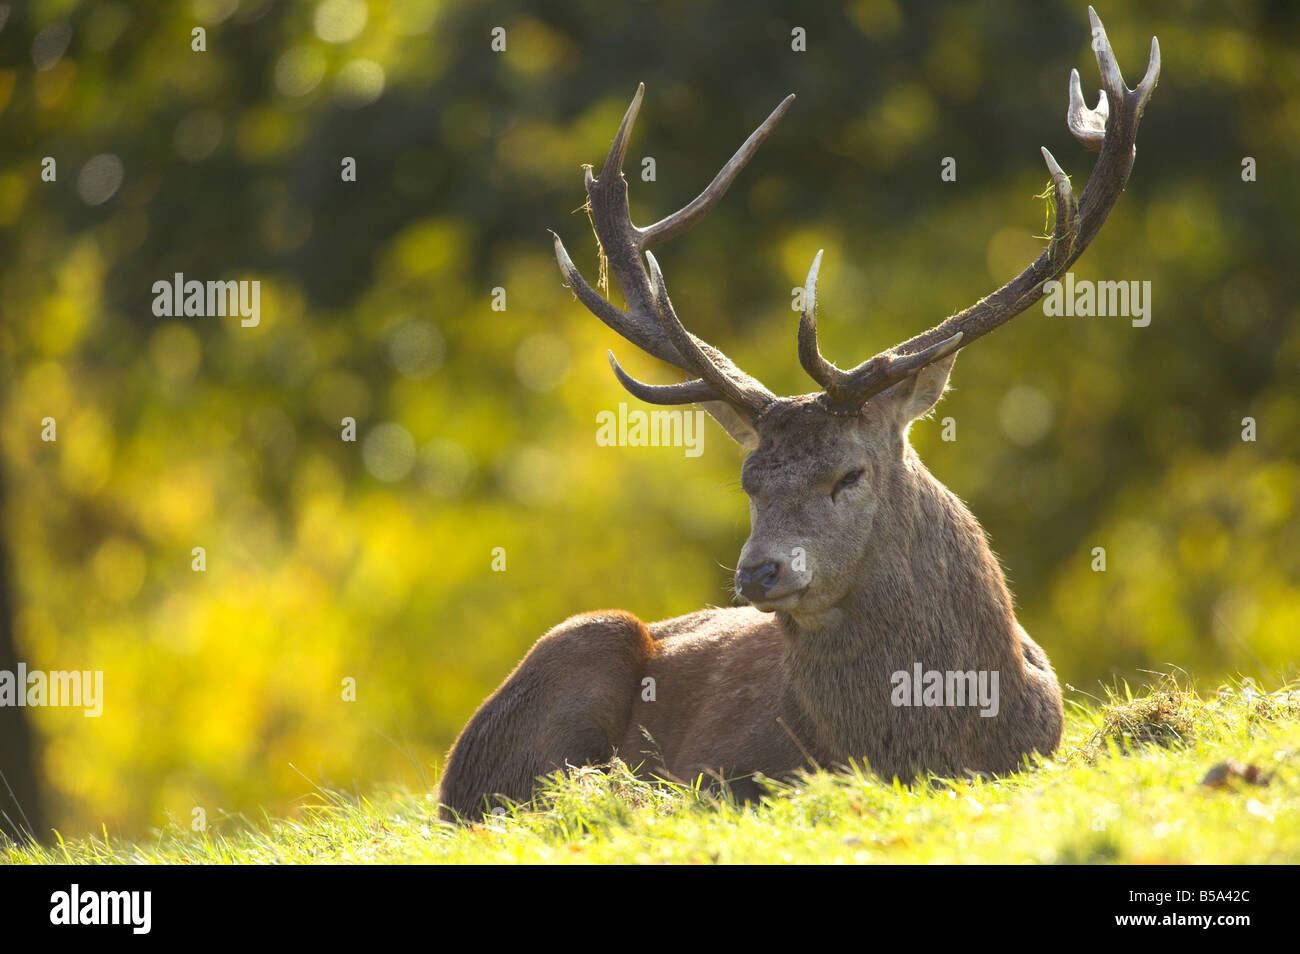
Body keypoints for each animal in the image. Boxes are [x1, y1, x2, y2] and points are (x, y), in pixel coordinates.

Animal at [438, 7, 1159, 821]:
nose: (759, 572)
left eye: (850, 474)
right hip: (575, 650)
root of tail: (445, 777)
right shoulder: (725, 770)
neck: (940, 740)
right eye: (747, 479)